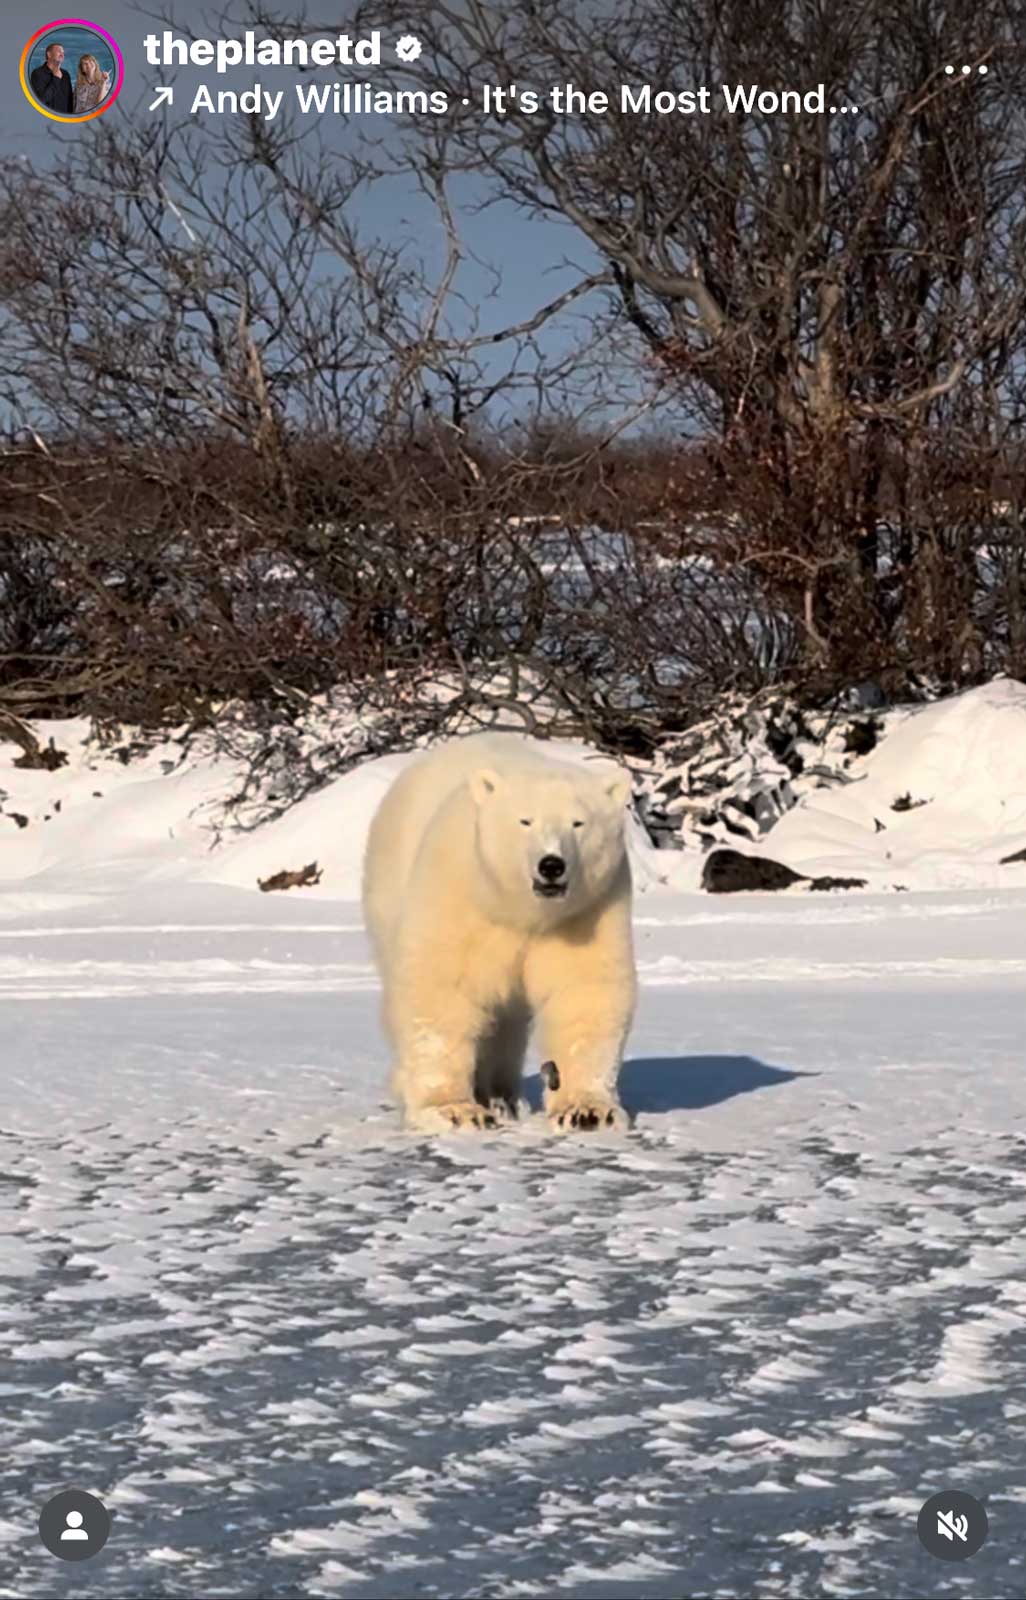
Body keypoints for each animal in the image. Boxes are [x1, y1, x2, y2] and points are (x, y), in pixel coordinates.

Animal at [362, 733, 636, 1133]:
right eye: (525, 820)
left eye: (578, 823)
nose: (551, 865)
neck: (522, 910)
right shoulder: (459, 895)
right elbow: (443, 988)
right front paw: (453, 1111)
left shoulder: (588, 909)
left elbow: (584, 990)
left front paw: (587, 1111)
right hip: (388, 890)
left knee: (506, 1024)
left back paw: (501, 1097)